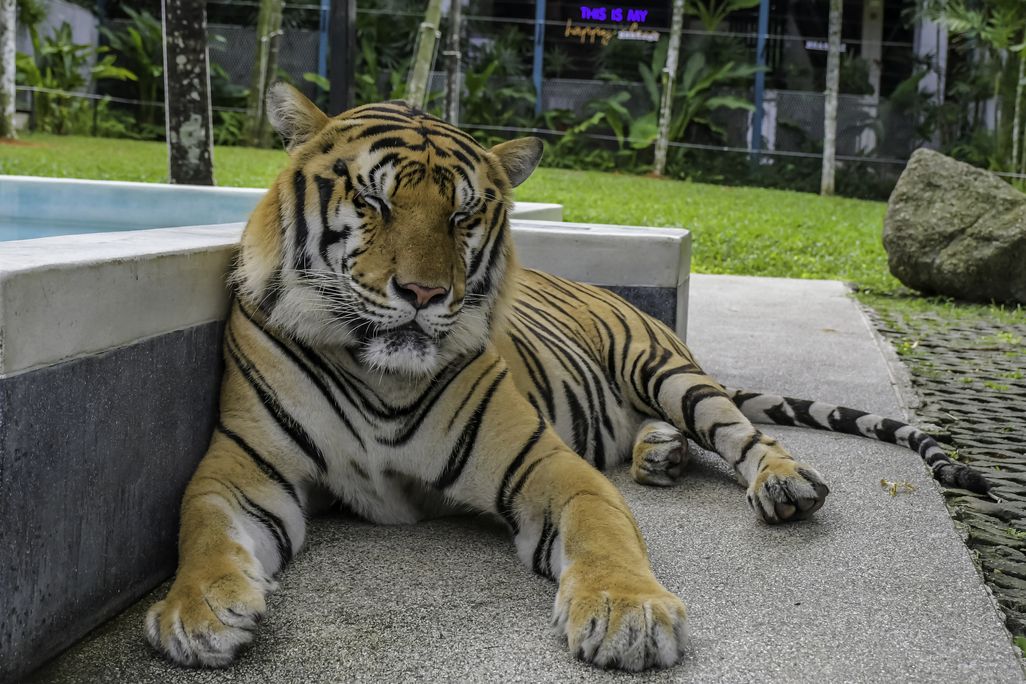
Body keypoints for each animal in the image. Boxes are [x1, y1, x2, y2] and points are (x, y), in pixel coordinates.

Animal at [144, 83, 990, 672]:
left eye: (464, 215)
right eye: (373, 198)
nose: (424, 294)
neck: (380, 373)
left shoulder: (544, 462)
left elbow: (602, 530)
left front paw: (626, 614)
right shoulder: (241, 469)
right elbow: (201, 527)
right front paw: (197, 613)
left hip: (666, 370)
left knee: (745, 435)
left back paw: (781, 483)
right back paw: (660, 455)